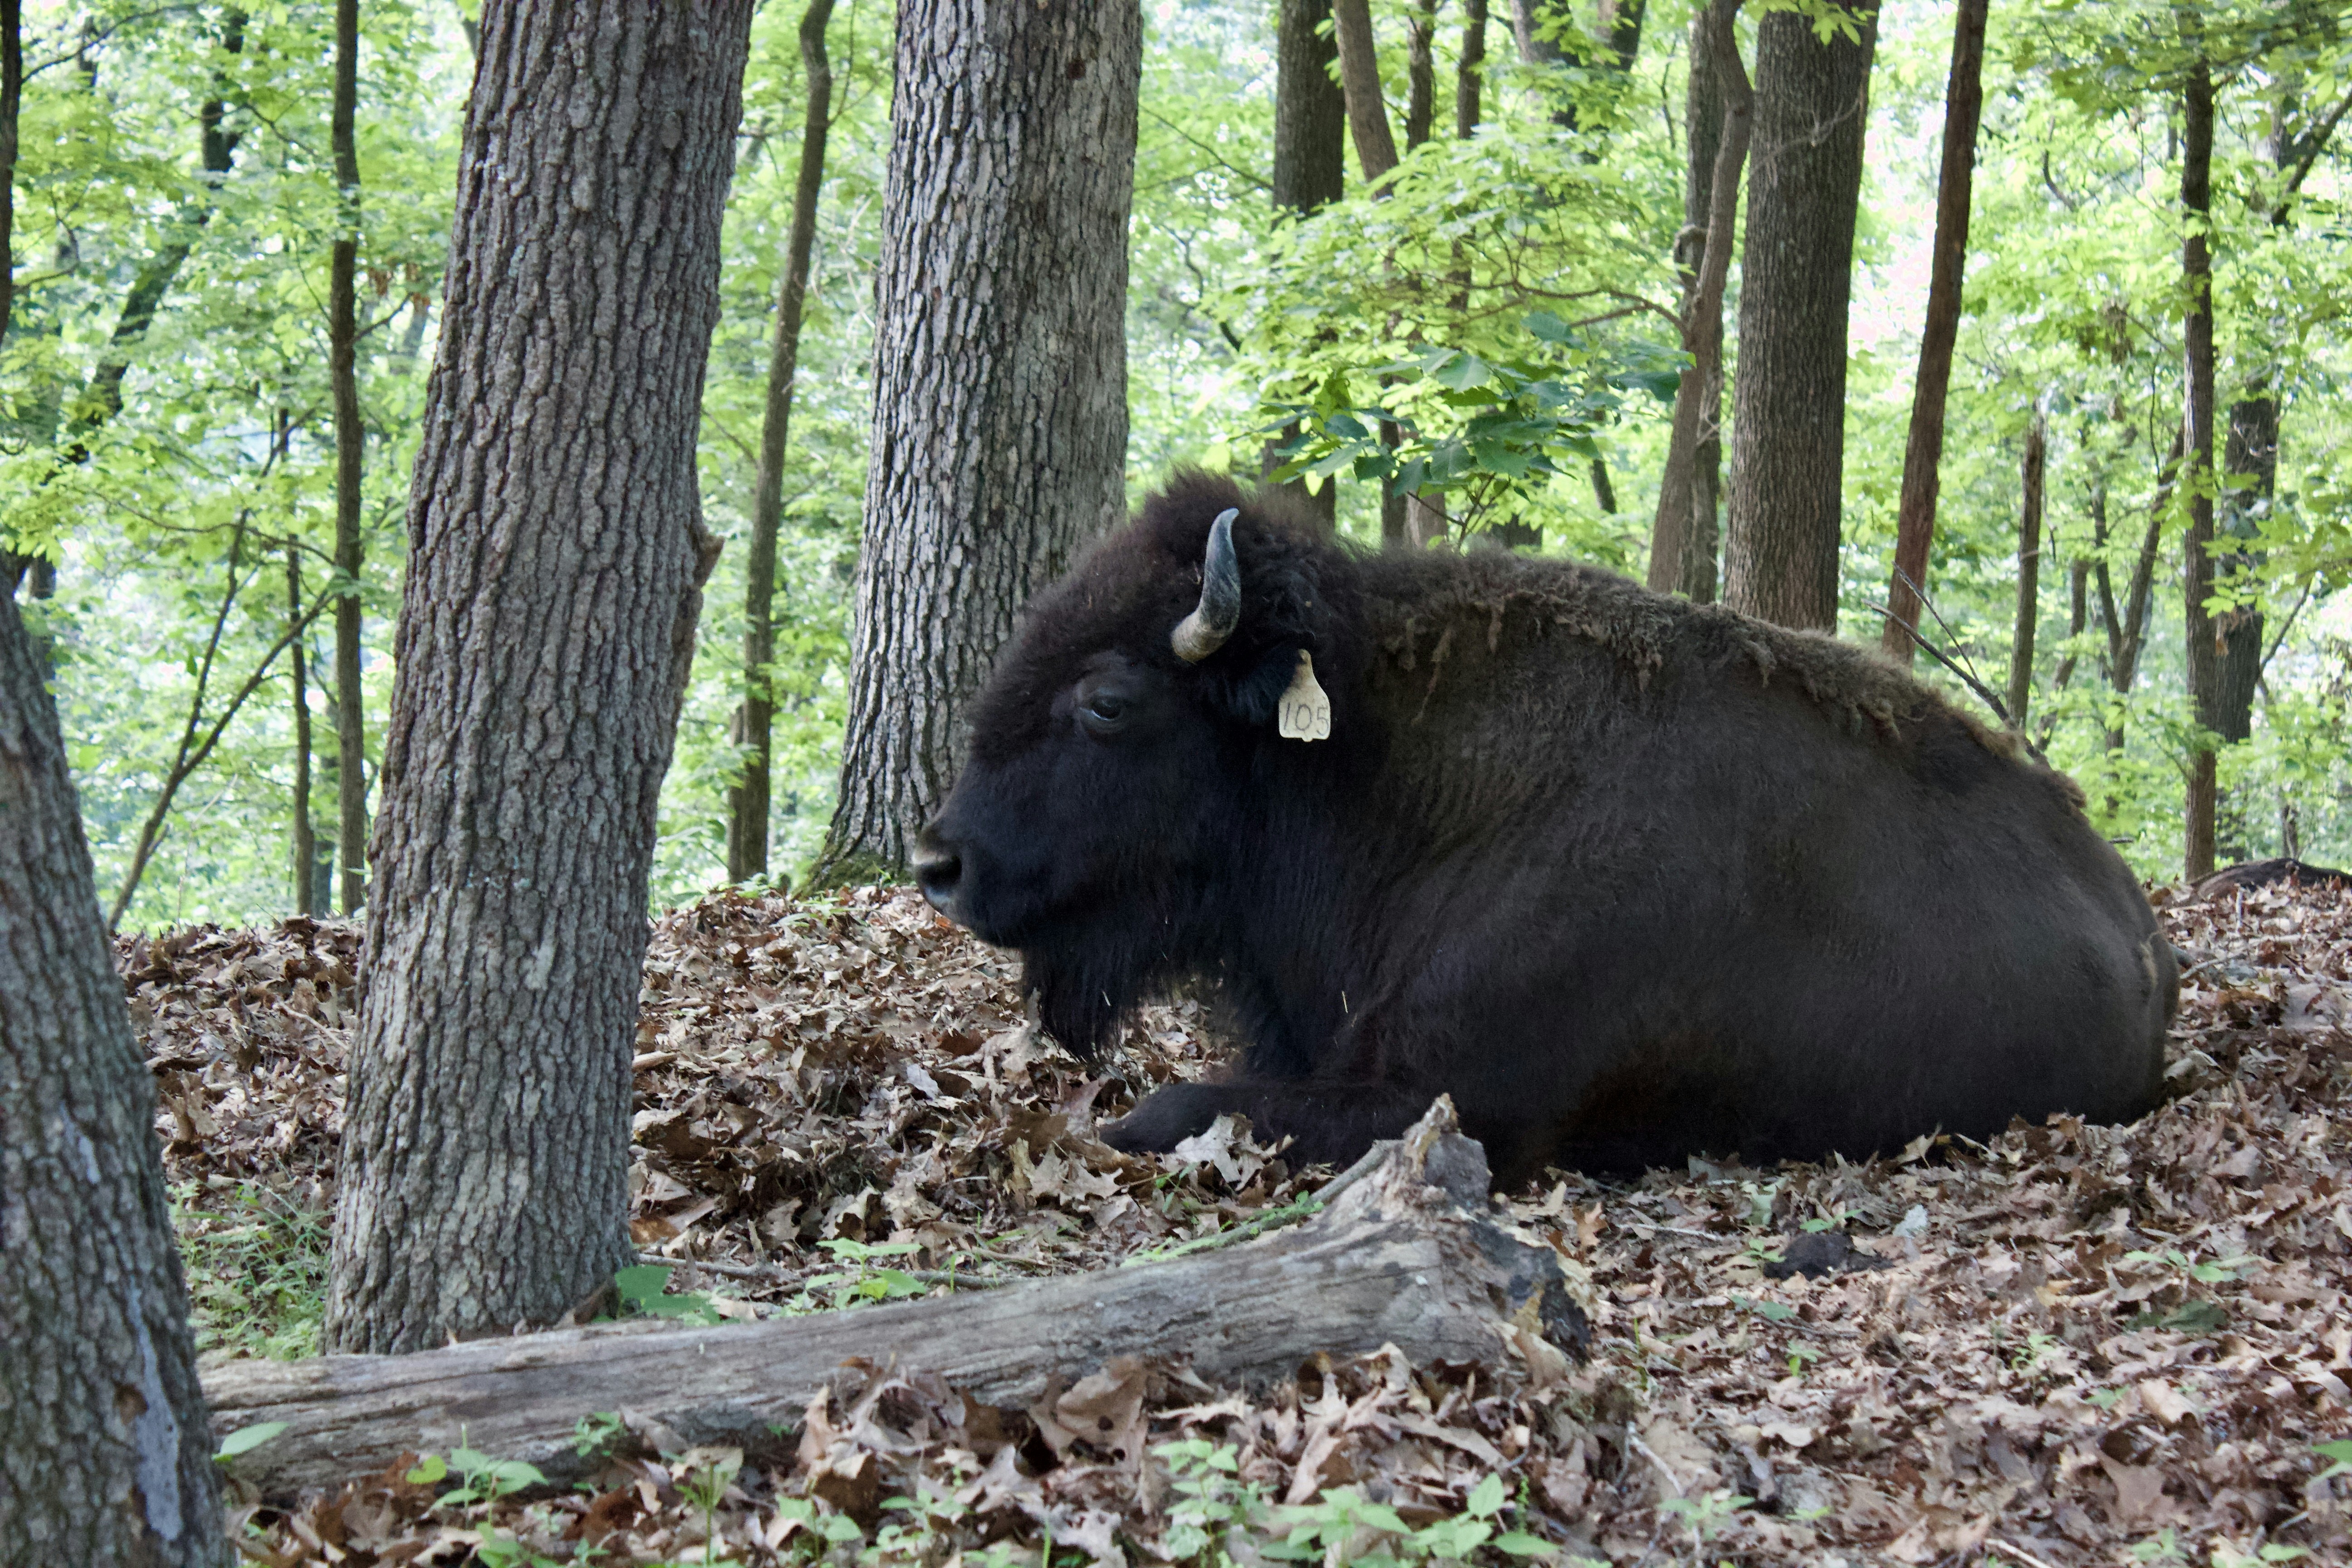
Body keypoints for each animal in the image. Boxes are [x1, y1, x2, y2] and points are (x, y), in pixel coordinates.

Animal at [915, 473, 2176, 1184]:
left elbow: (1168, 1108)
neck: (1382, 774)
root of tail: (2144, 937)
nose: (940, 861)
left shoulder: (1449, 1098)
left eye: (1106, 700)